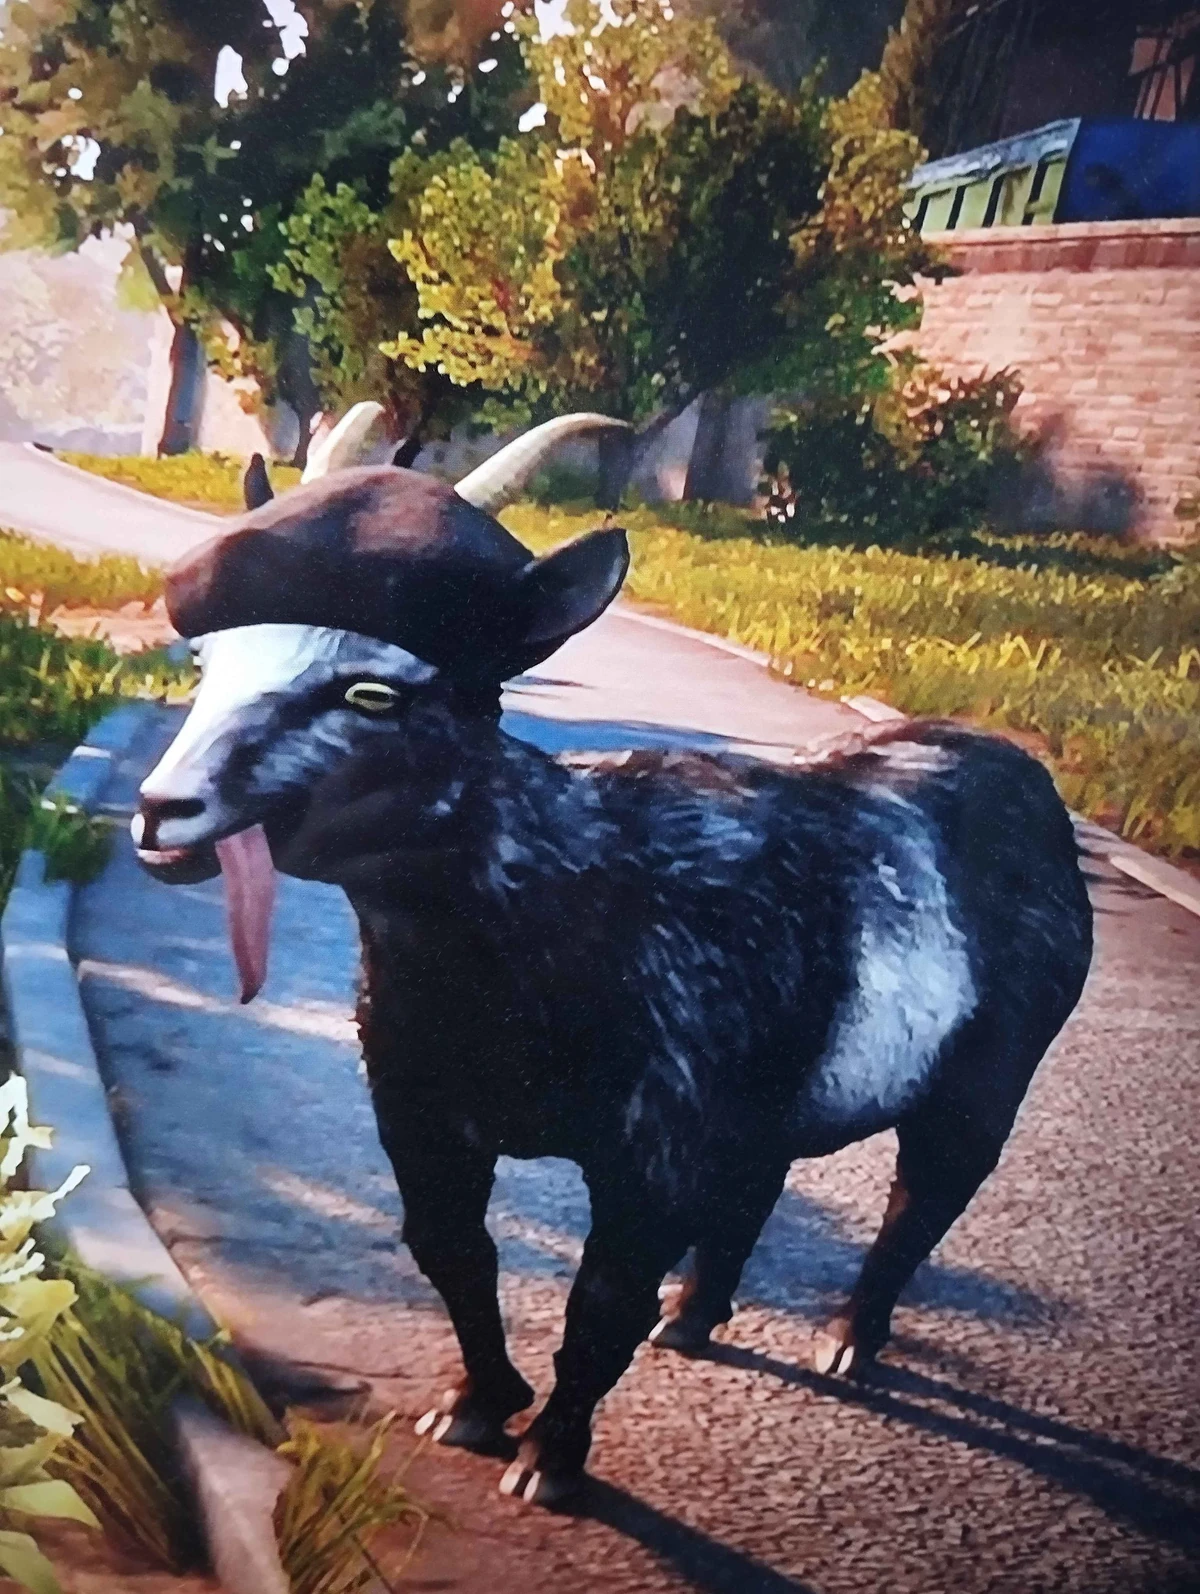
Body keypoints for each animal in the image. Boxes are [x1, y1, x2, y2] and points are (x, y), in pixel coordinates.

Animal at [132, 409, 1094, 1507]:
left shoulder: (656, 1145)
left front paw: (549, 1460)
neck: (559, 895)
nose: (164, 813)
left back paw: (849, 1341)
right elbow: (452, 1251)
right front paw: (474, 1407)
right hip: (775, 1088)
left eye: (373, 690)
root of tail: (1028, 777)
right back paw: (696, 1316)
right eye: (204, 665)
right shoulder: (424, 1113)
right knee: (762, 1178)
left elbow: (602, 1299)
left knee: (926, 1193)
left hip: (990, 1067)